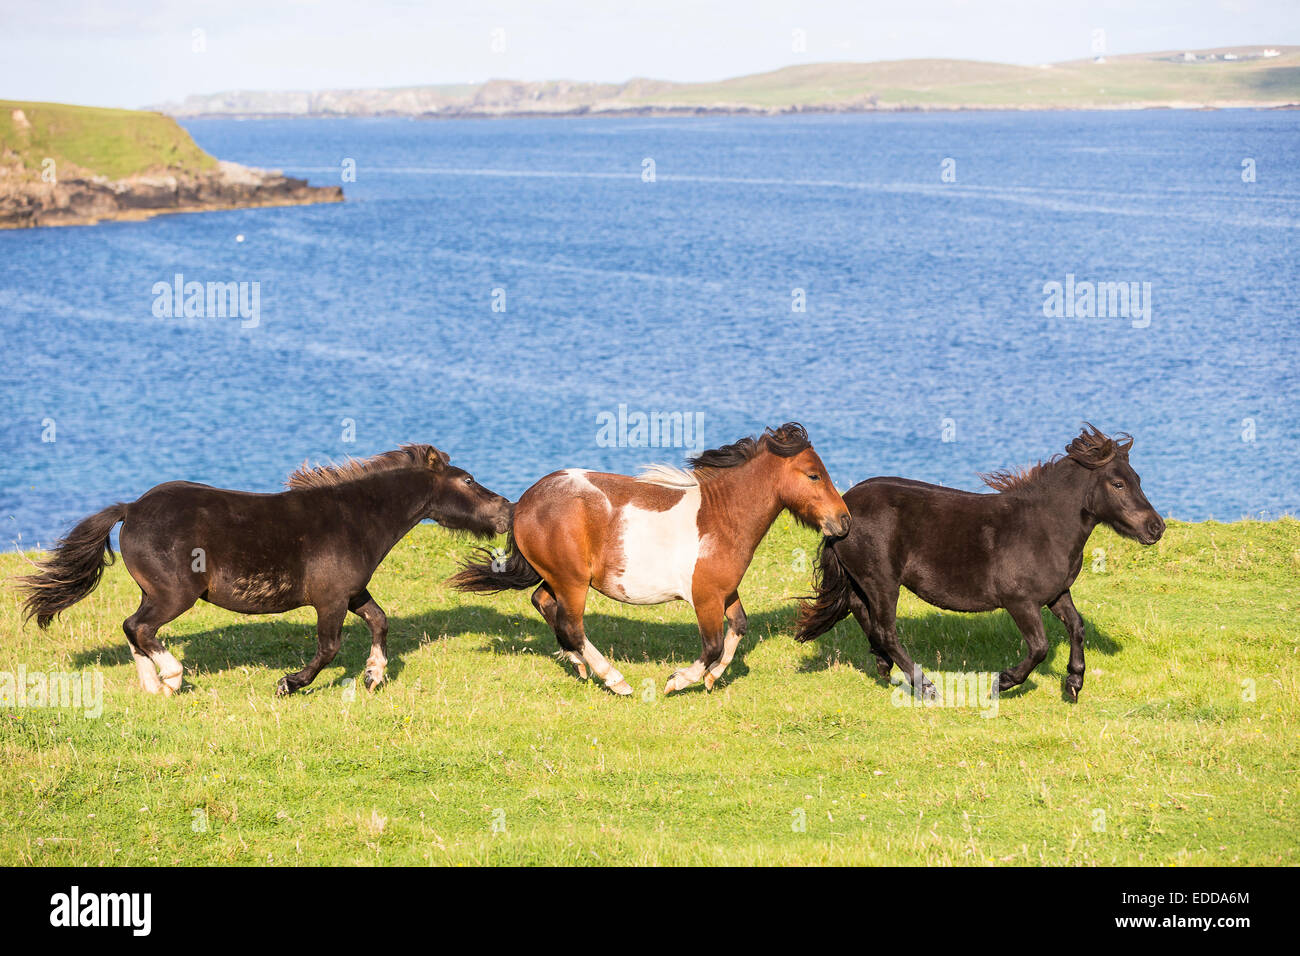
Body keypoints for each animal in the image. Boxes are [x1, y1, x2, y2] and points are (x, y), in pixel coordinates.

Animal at [19, 444, 512, 697]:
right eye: (468, 480)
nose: (507, 511)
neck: (355, 517)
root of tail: (131, 509)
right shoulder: (330, 599)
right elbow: (329, 647)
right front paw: (289, 684)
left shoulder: (351, 592)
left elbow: (380, 621)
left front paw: (374, 676)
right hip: (174, 594)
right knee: (139, 628)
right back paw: (173, 676)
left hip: (153, 591)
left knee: (133, 628)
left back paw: (154, 686)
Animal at [450, 423, 850, 696]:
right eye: (814, 475)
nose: (844, 521)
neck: (720, 518)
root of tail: (525, 504)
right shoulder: (705, 597)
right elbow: (712, 644)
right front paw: (678, 681)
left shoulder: (723, 590)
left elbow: (738, 627)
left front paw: (711, 678)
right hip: (573, 582)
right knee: (571, 624)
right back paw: (615, 680)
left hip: (560, 578)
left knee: (544, 603)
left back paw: (579, 665)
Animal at [795, 425, 1164, 702]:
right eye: (1118, 483)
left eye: (1137, 478)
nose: (1156, 527)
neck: (1044, 528)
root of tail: (843, 511)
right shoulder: (1020, 602)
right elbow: (1040, 647)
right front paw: (1003, 682)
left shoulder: (1057, 593)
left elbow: (1077, 627)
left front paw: (1073, 684)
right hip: (882, 582)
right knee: (886, 630)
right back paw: (926, 687)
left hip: (864, 581)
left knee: (863, 614)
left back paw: (886, 667)